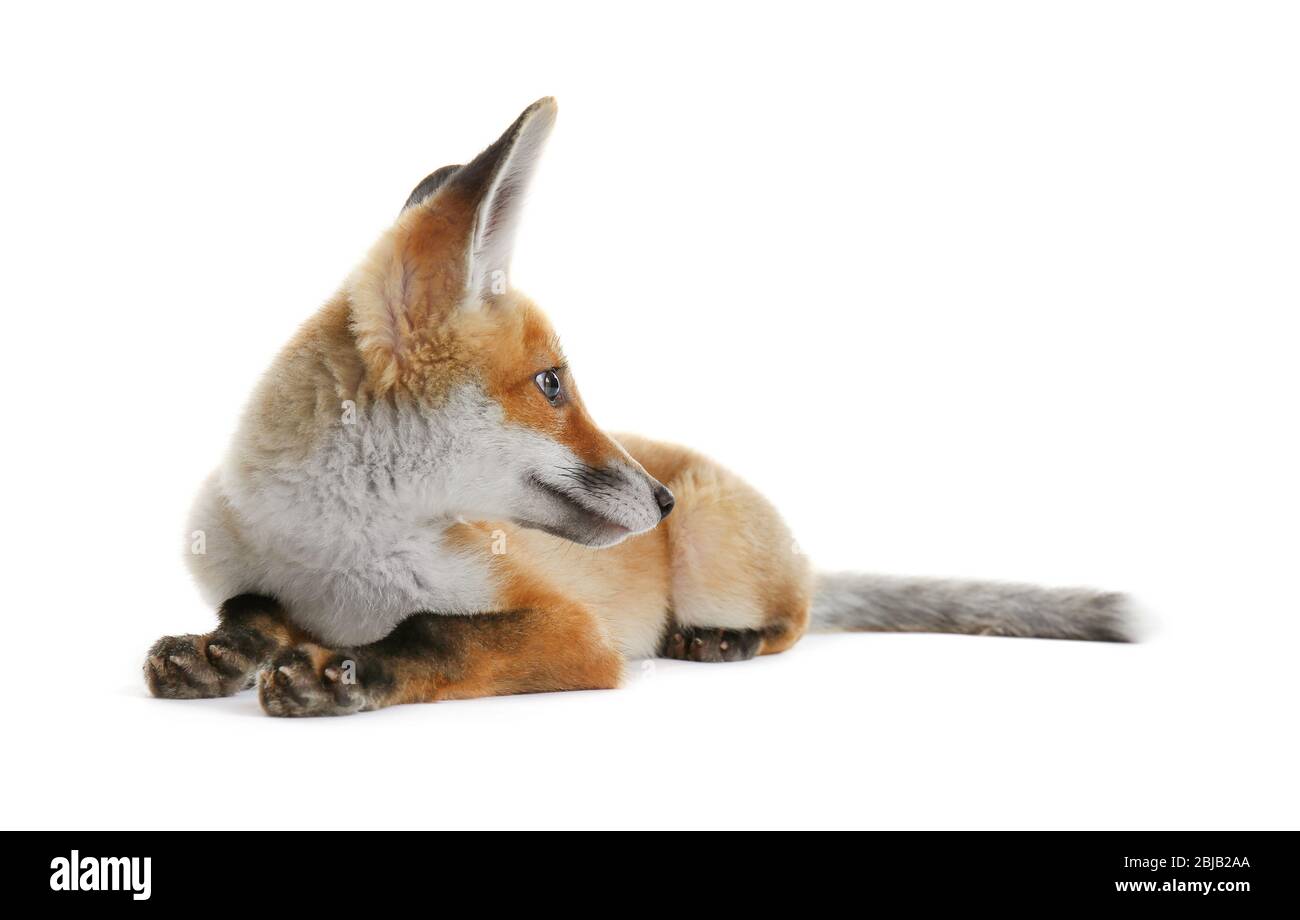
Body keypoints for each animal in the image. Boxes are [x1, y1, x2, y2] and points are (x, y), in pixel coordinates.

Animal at [145, 97, 1132, 717]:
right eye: (552, 384)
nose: (657, 500)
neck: (337, 561)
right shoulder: (245, 566)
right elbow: (252, 608)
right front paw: (224, 649)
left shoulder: (571, 630)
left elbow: (435, 633)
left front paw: (345, 674)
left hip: (719, 567)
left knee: (800, 615)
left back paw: (723, 641)